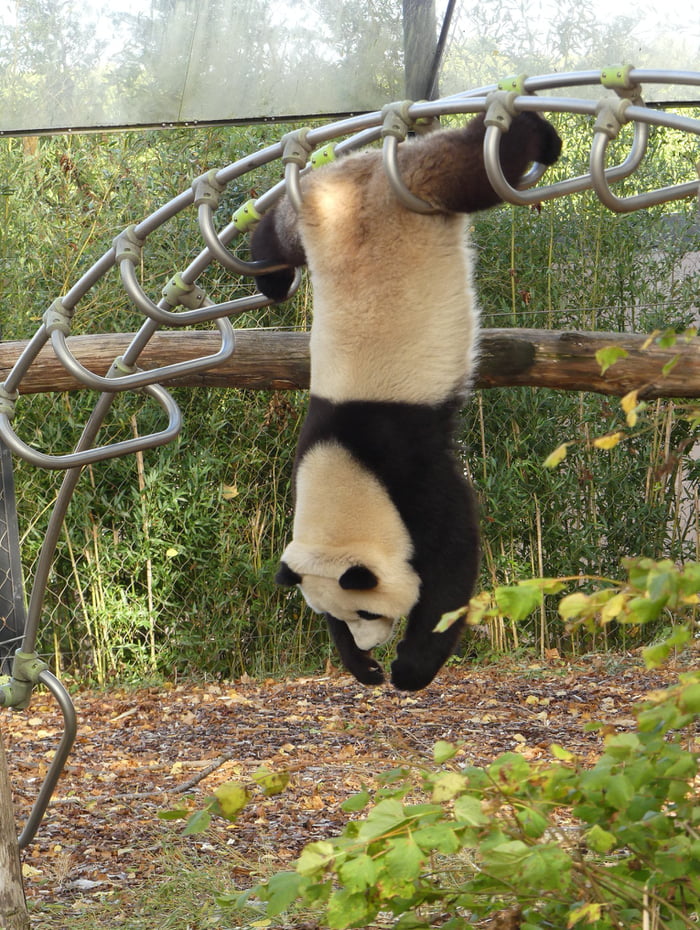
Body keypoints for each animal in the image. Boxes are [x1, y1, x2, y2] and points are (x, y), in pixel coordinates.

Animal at [251, 111, 562, 691]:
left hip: (415, 186)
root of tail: (364, 165)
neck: (345, 463)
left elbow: (453, 555)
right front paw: (361, 666)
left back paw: (538, 135)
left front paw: (410, 668)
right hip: (313, 207)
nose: (371, 643)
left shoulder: (408, 470)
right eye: (331, 613)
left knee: (476, 164)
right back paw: (273, 281)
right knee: (274, 230)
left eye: (367, 610)